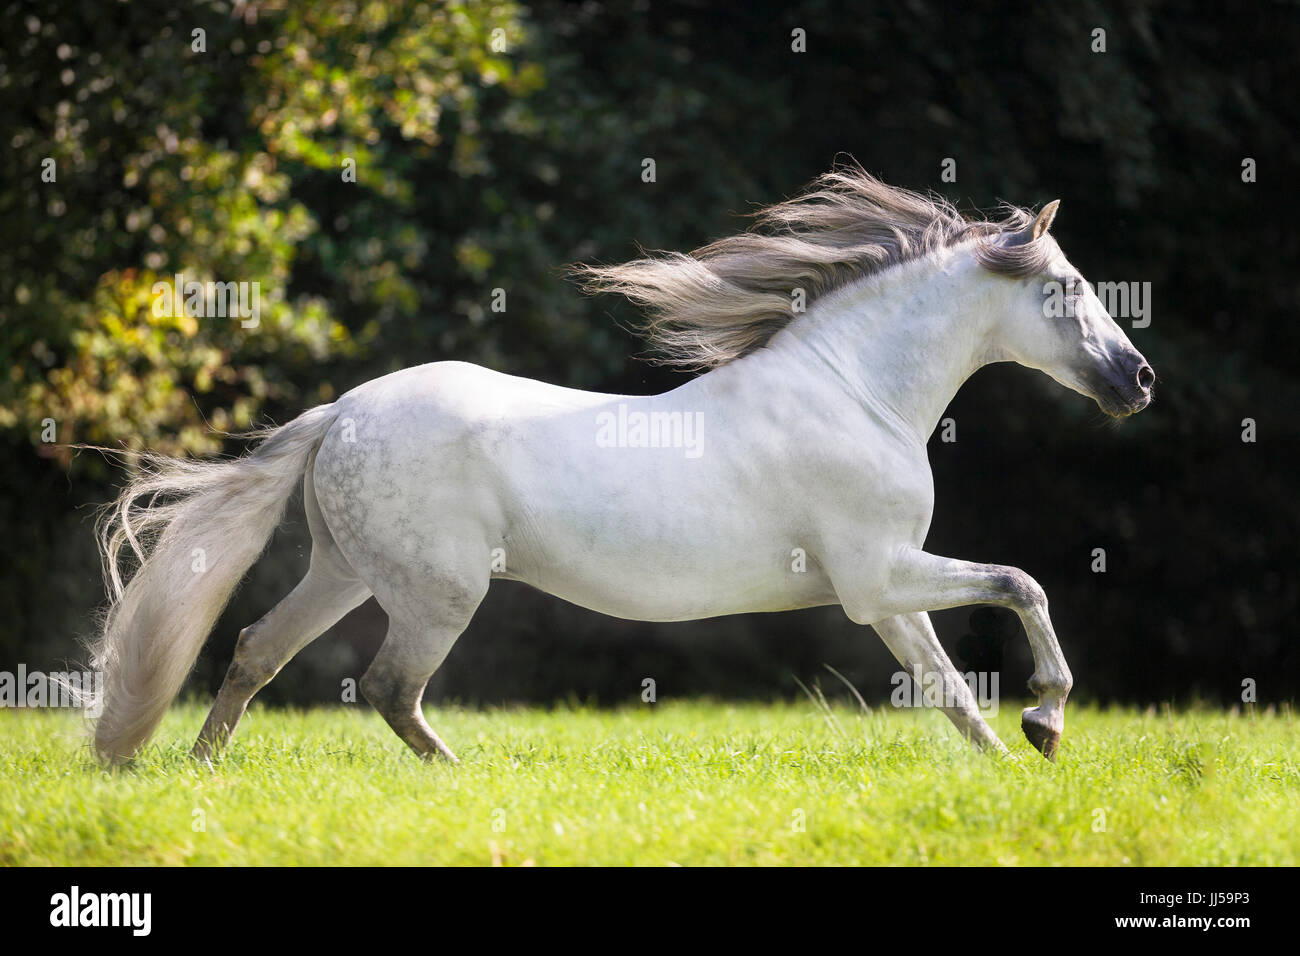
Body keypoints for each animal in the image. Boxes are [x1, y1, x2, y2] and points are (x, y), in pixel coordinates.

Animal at [88, 164, 1154, 767]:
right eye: (1066, 290)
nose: (1138, 381)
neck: (855, 393)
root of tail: (343, 413)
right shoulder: (877, 575)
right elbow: (1022, 584)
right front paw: (1048, 722)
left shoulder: (887, 592)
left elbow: (948, 687)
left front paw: (1012, 760)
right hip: (438, 593)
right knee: (390, 689)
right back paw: (464, 777)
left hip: (346, 571)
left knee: (256, 649)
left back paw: (192, 768)